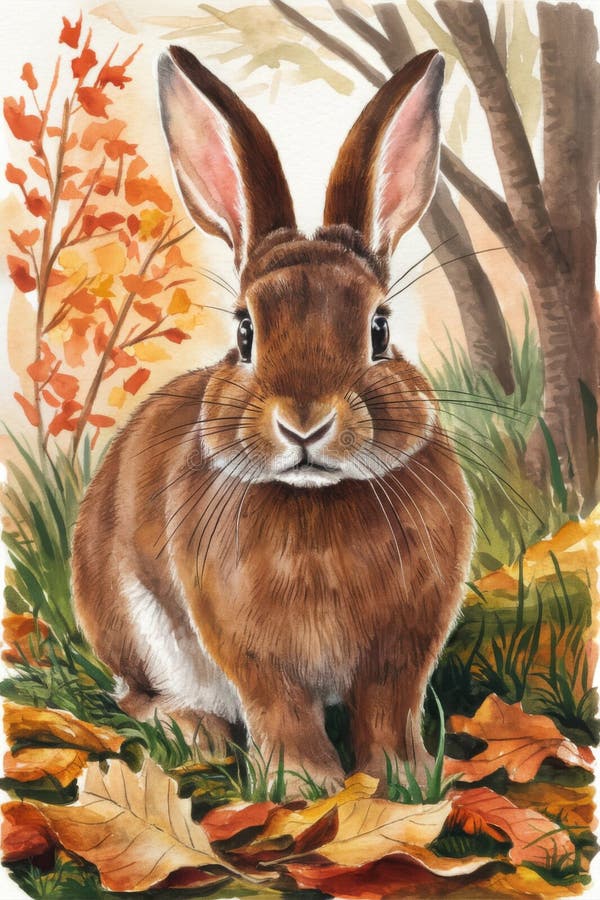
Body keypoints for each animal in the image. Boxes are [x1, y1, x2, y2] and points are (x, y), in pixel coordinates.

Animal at [72, 44, 473, 795]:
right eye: (245, 331)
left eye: (379, 329)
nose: (305, 423)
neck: (319, 502)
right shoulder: (253, 653)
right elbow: (280, 709)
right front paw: (304, 787)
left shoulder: (401, 653)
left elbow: (389, 710)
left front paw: (403, 782)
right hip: (131, 625)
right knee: (136, 695)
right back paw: (193, 731)